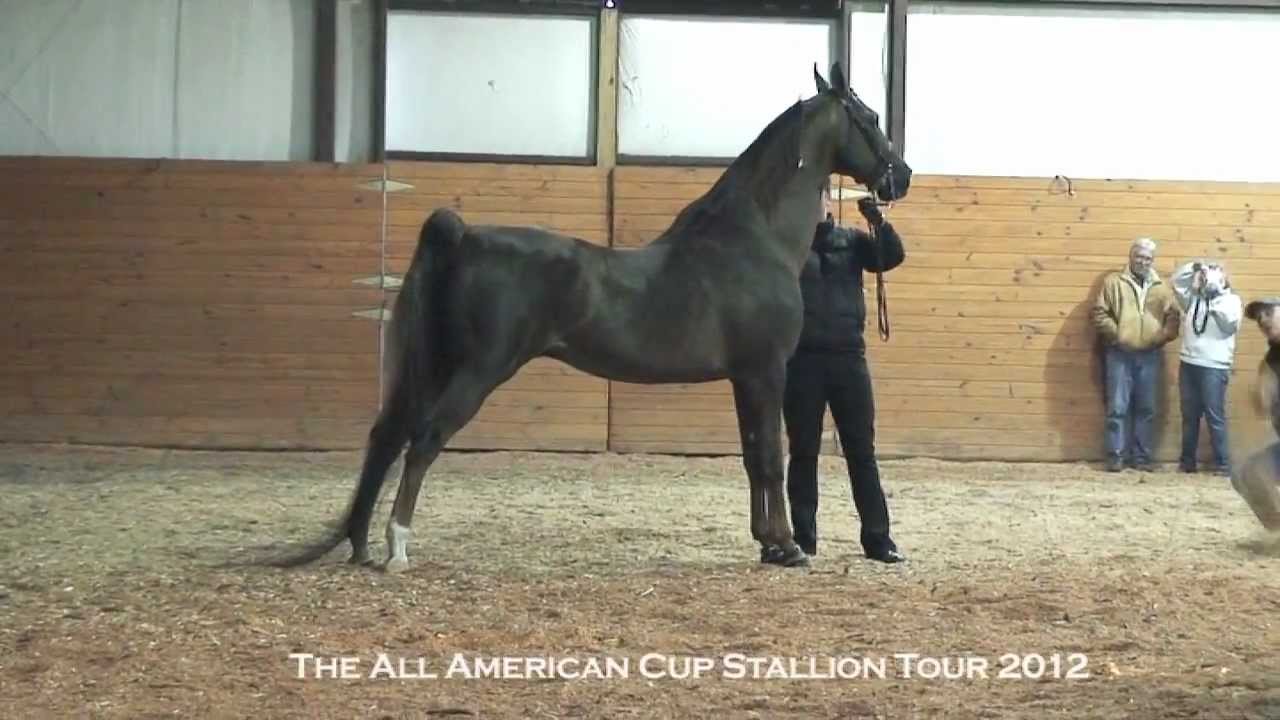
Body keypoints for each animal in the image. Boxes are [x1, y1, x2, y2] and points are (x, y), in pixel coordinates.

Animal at [268, 62, 912, 572]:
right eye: (870, 115)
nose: (899, 177)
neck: (753, 239)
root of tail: (463, 235)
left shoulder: (745, 378)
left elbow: (754, 456)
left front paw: (769, 544)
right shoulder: (765, 370)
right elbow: (773, 459)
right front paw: (788, 547)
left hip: (431, 366)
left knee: (387, 438)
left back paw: (360, 545)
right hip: (476, 372)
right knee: (423, 440)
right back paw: (397, 547)